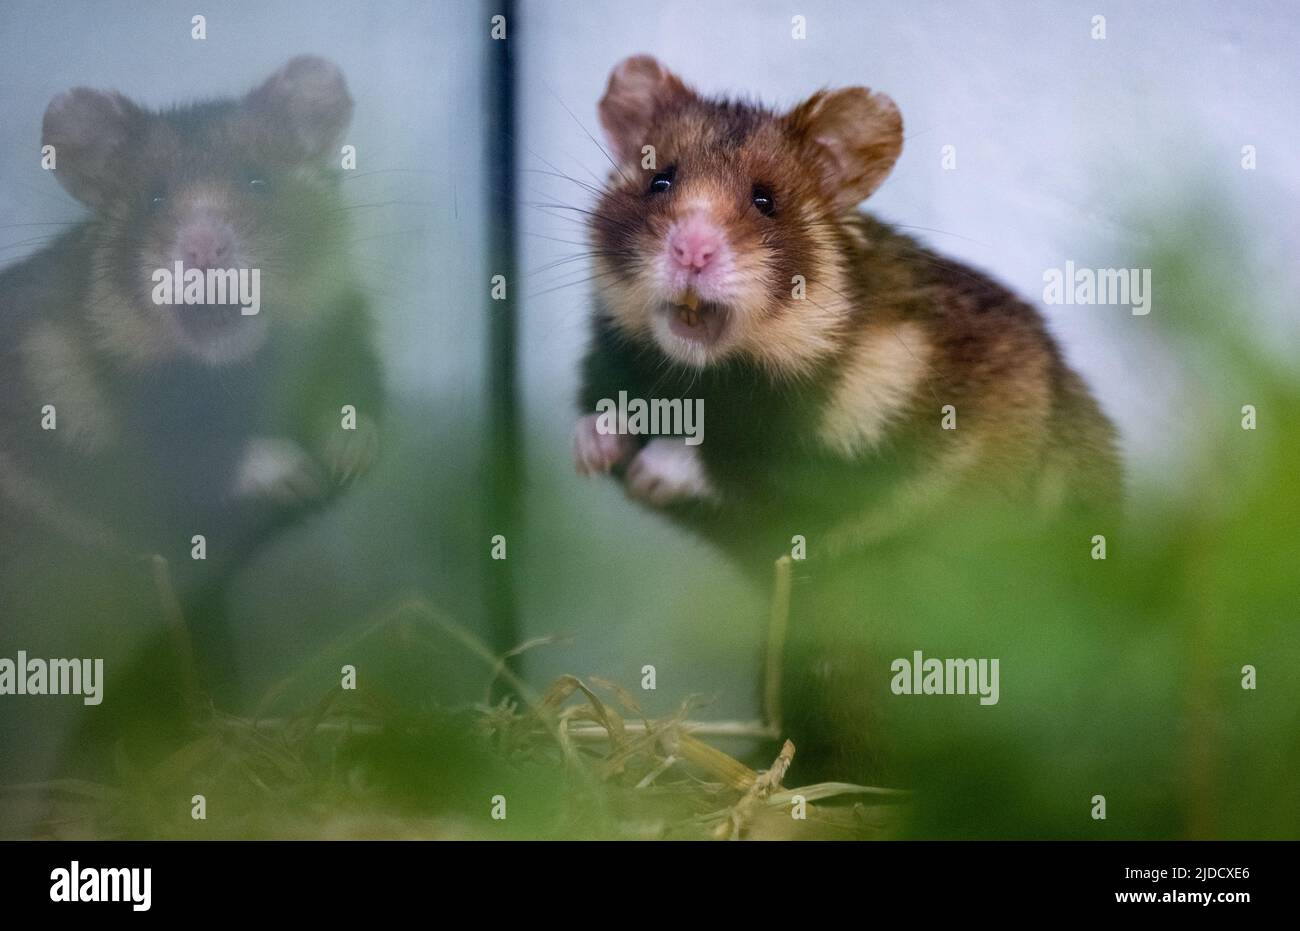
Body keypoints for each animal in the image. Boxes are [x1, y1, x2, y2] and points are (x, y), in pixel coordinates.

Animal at [572, 57, 1122, 781]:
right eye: (659, 178)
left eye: (766, 200)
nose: (692, 252)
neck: (700, 381)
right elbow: (605, 408)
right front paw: (591, 449)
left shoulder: (842, 461)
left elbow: (756, 463)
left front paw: (659, 468)